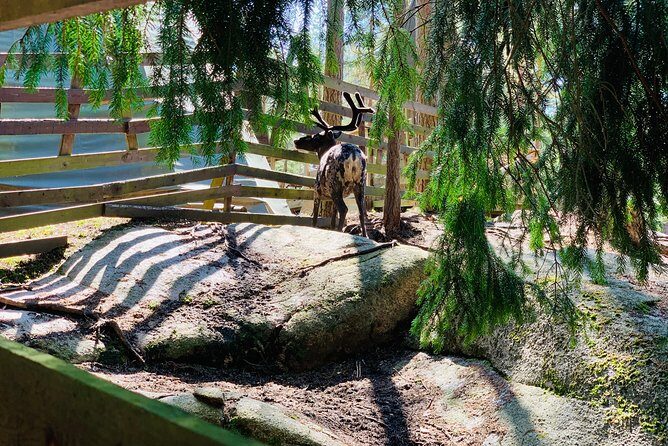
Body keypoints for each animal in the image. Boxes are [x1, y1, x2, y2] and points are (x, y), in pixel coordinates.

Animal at [293, 92, 375, 238]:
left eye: (316, 136)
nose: (296, 140)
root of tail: (354, 155)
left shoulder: (317, 190)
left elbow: (315, 219)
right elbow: (332, 218)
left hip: (334, 182)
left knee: (344, 209)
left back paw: (341, 232)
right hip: (360, 183)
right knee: (361, 211)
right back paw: (364, 236)